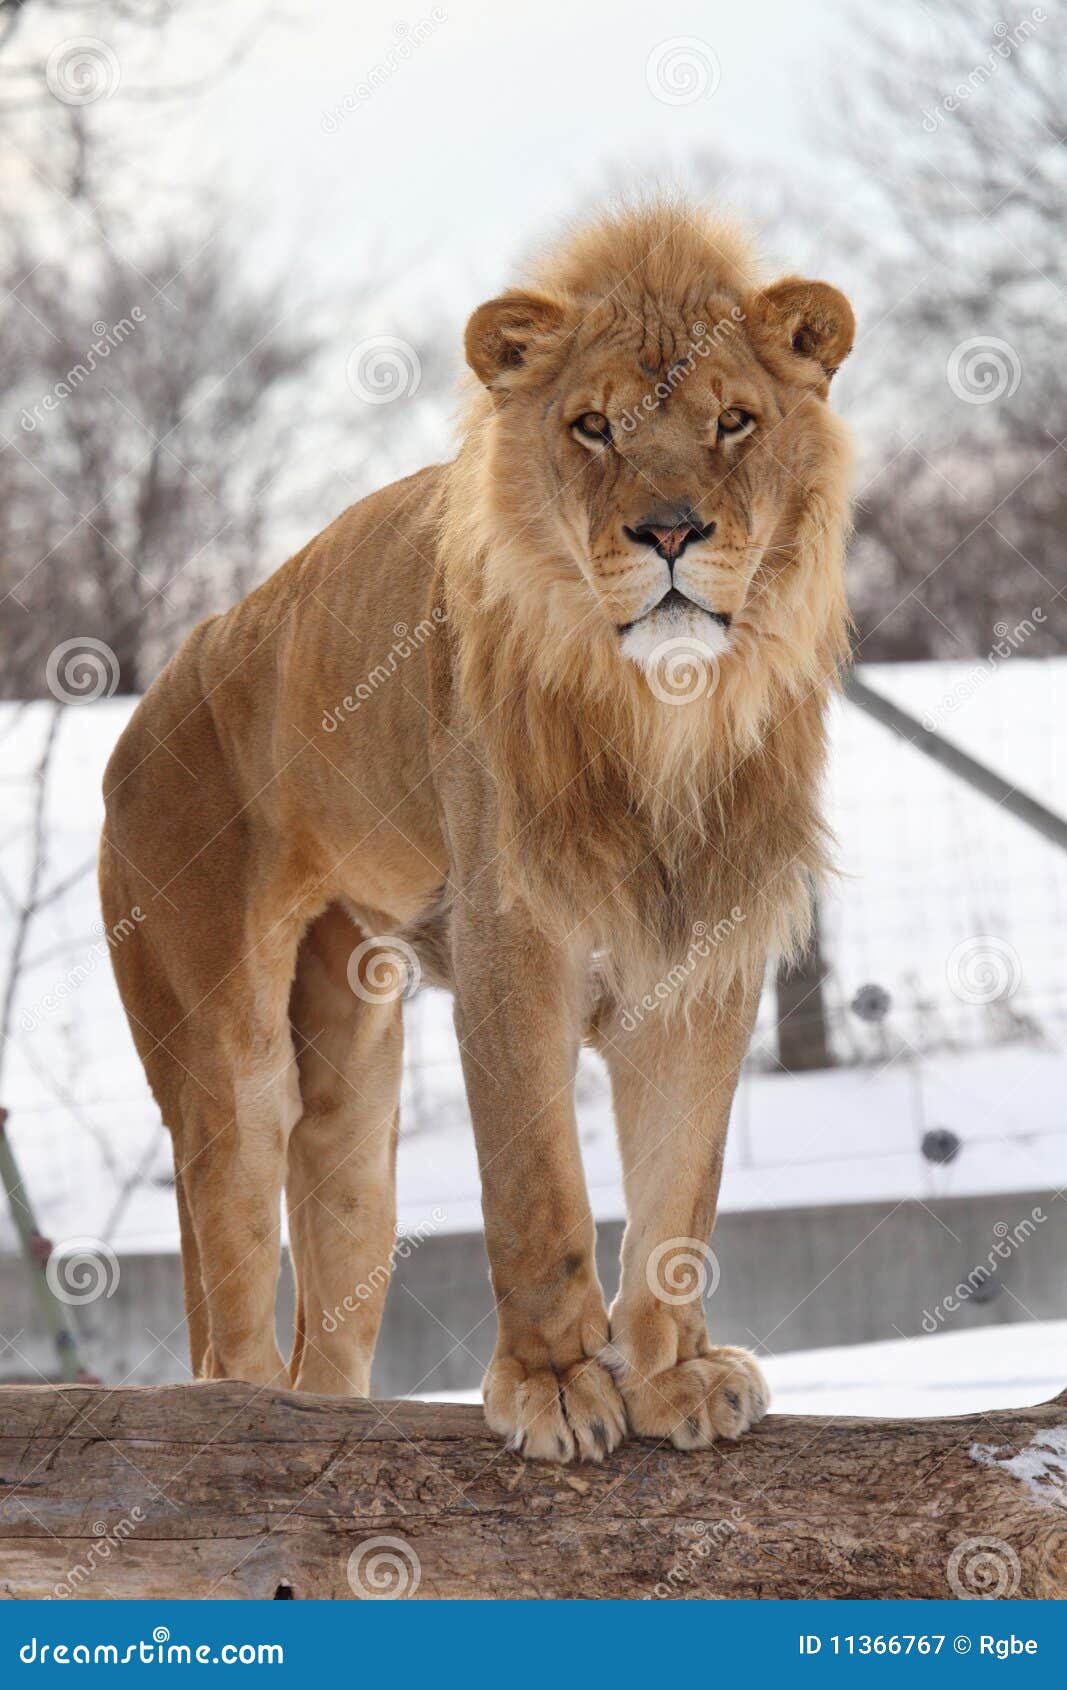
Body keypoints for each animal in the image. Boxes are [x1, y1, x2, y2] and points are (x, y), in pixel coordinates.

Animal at [99, 200, 854, 1462]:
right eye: (592, 426)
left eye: (732, 421)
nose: (666, 532)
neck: (660, 714)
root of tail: (156, 693)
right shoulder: (515, 943)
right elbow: (534, 1185)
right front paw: (555, 1385)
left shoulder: (701, 953)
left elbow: (678, 1187)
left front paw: (673, 1374)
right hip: (222, 1059)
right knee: (229, 1324)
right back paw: (241, 1423)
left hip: (355, 1102)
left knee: (325, 1337)